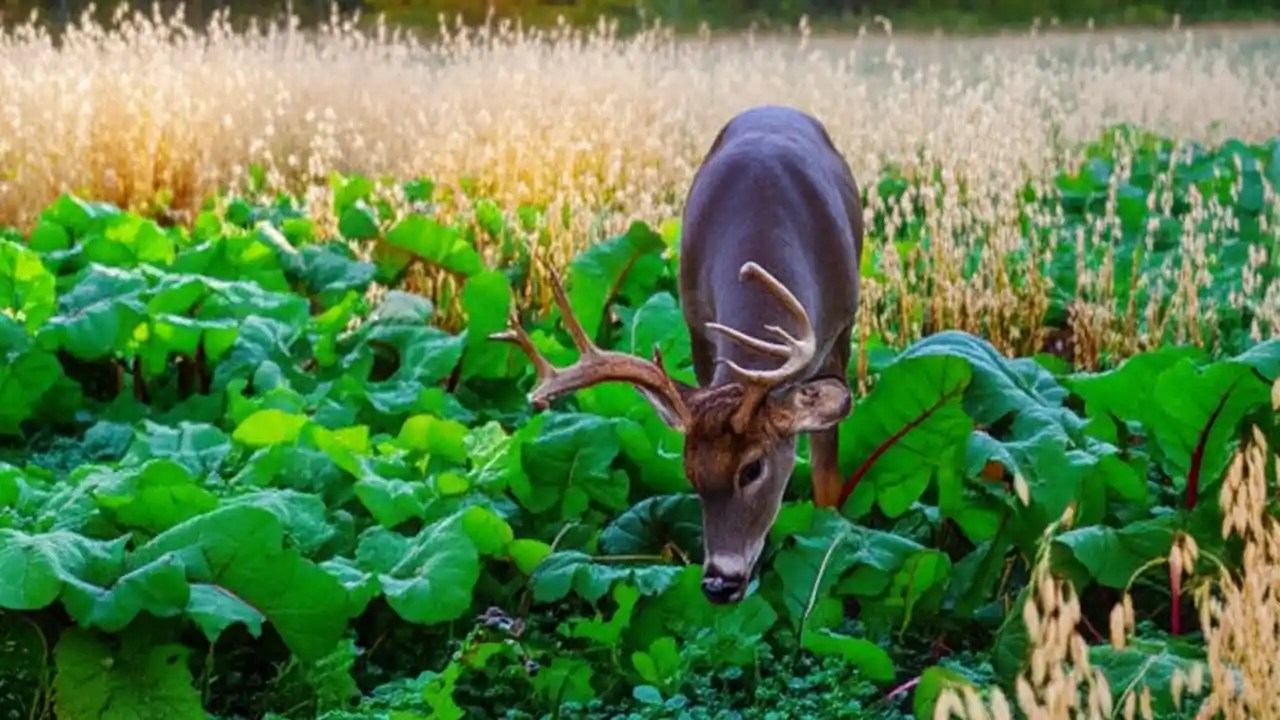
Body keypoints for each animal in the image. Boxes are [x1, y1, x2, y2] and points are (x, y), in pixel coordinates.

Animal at [491, 105, 864, 605]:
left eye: (753, 468)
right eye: (691, 473)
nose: (719, 583)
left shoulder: (840, 329)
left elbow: (827, 480)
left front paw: (830, 534)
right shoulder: (699, 332)